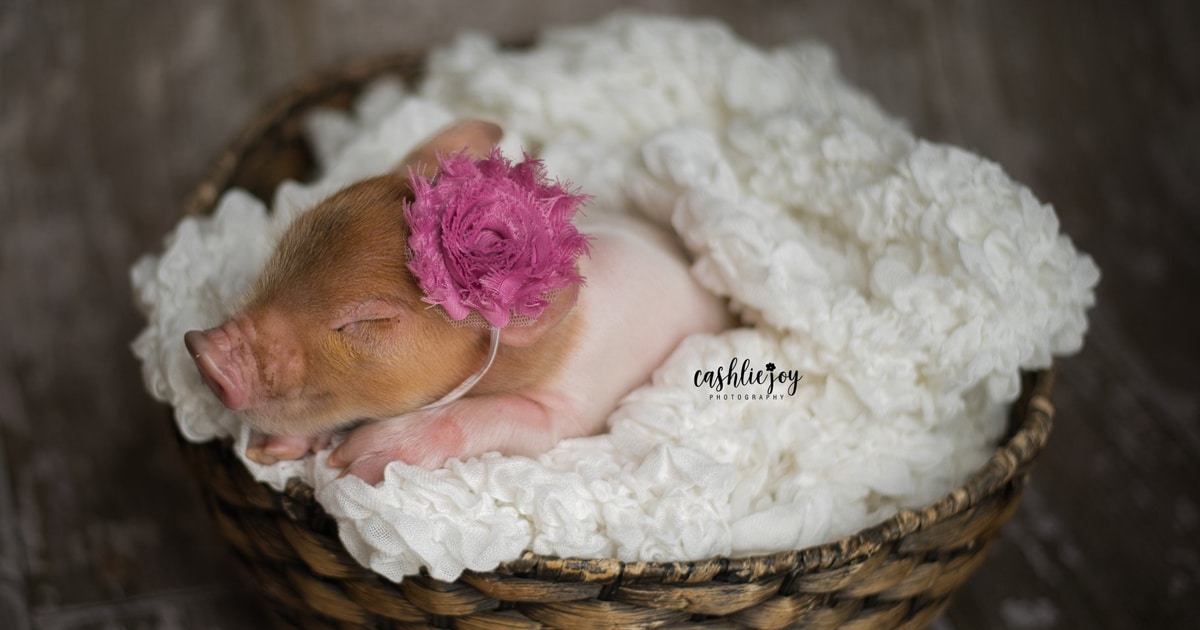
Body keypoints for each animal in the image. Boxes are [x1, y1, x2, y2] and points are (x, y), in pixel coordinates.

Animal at [184, 120, 731, 484]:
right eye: (289, 242)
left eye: (369, 320)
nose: (202, 352)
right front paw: (270, 451)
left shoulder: (569, 415)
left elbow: (494, 418)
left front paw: (351, 464)